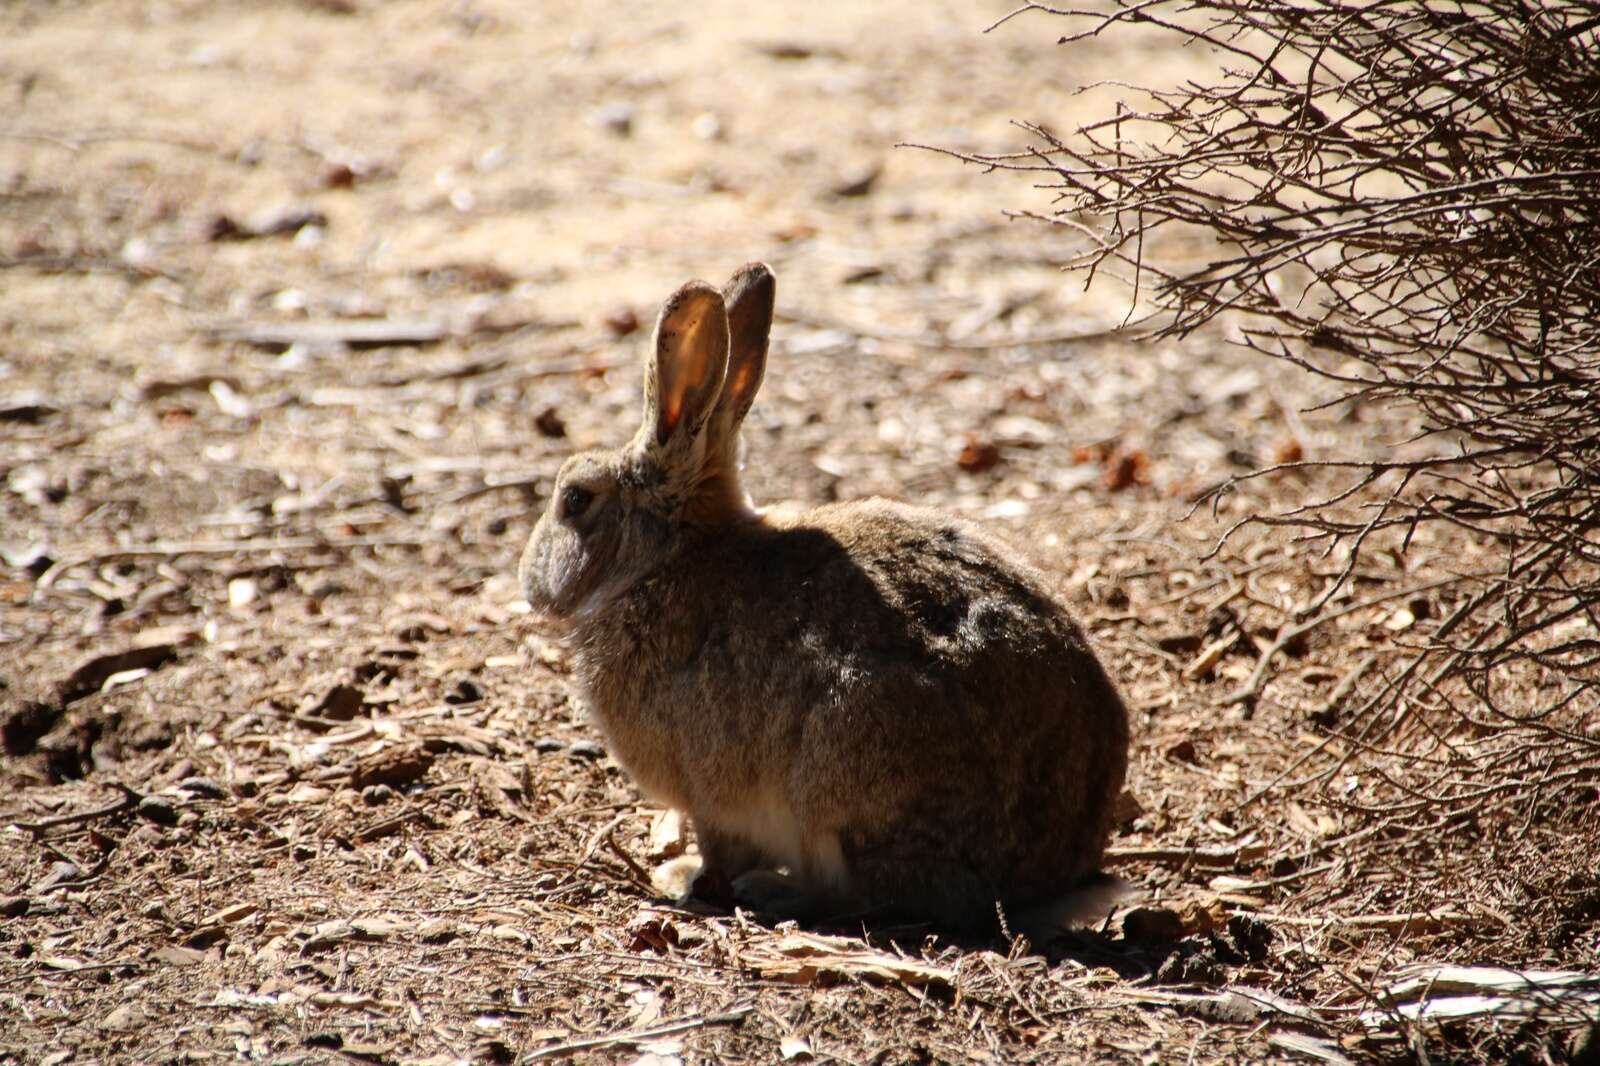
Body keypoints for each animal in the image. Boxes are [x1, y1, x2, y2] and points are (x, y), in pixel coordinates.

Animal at [519, 262, 1130, 933]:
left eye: (575, 499)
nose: (530, 582)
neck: (669, 558)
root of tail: (1046, 883)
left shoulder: (712, 796)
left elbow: (719, 850)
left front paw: (682, 879)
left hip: (839, 786)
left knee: (867, 896)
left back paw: (777, 893)